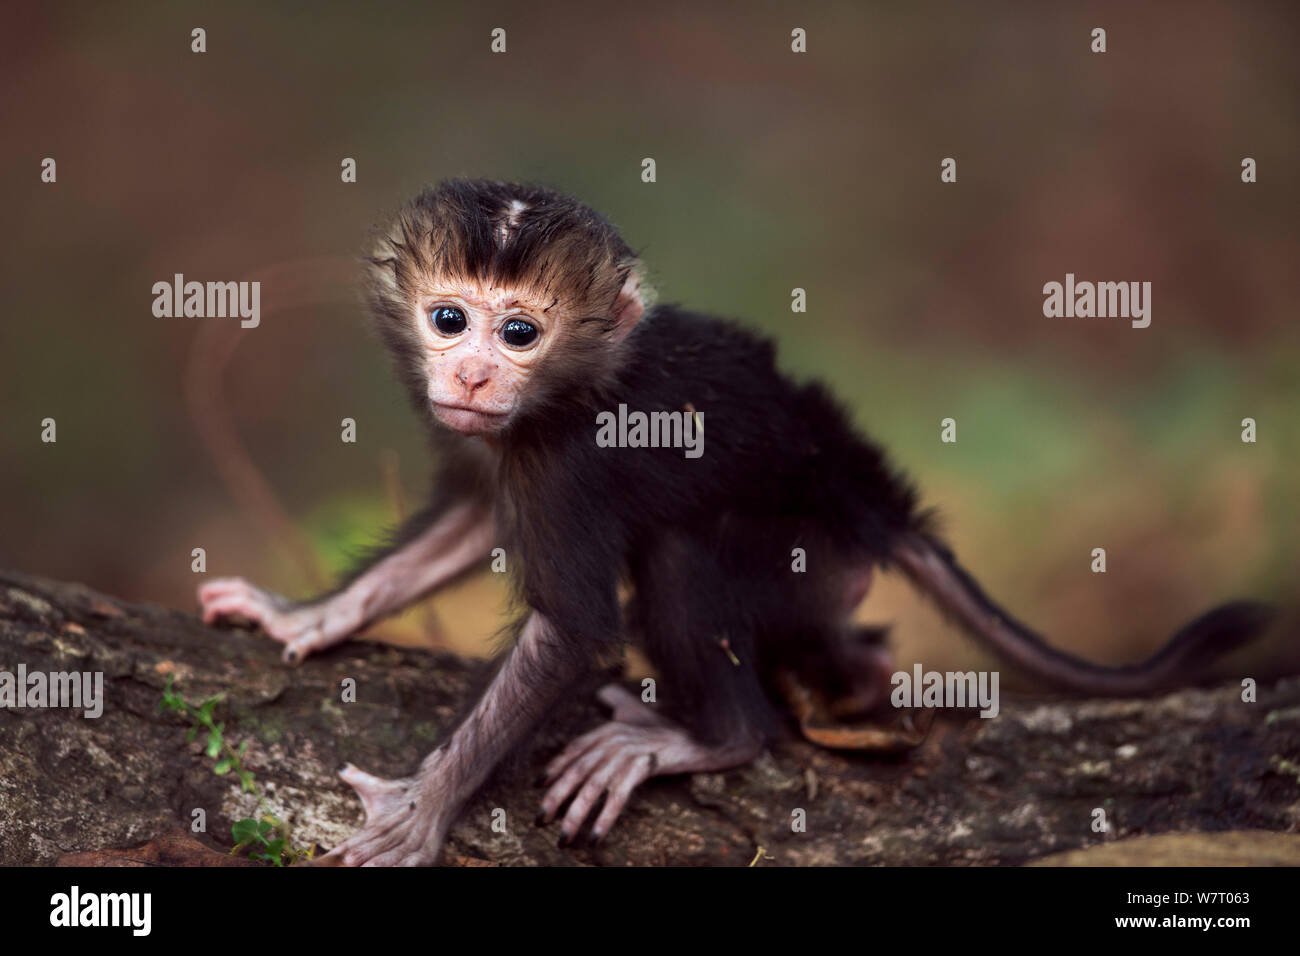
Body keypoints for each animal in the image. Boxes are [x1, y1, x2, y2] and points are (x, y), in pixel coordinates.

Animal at [197, 179, 1277, 866]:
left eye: (519, 332)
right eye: (448, 319)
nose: (468, 377)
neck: (570, 384)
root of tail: (868, 497)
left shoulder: (565, 458)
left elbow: (572, 631)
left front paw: (420, 811)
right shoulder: (500, 448)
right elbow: (462, 522)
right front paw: (307, 616)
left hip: (803, 546)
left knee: (684, 558)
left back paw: (714, 738)